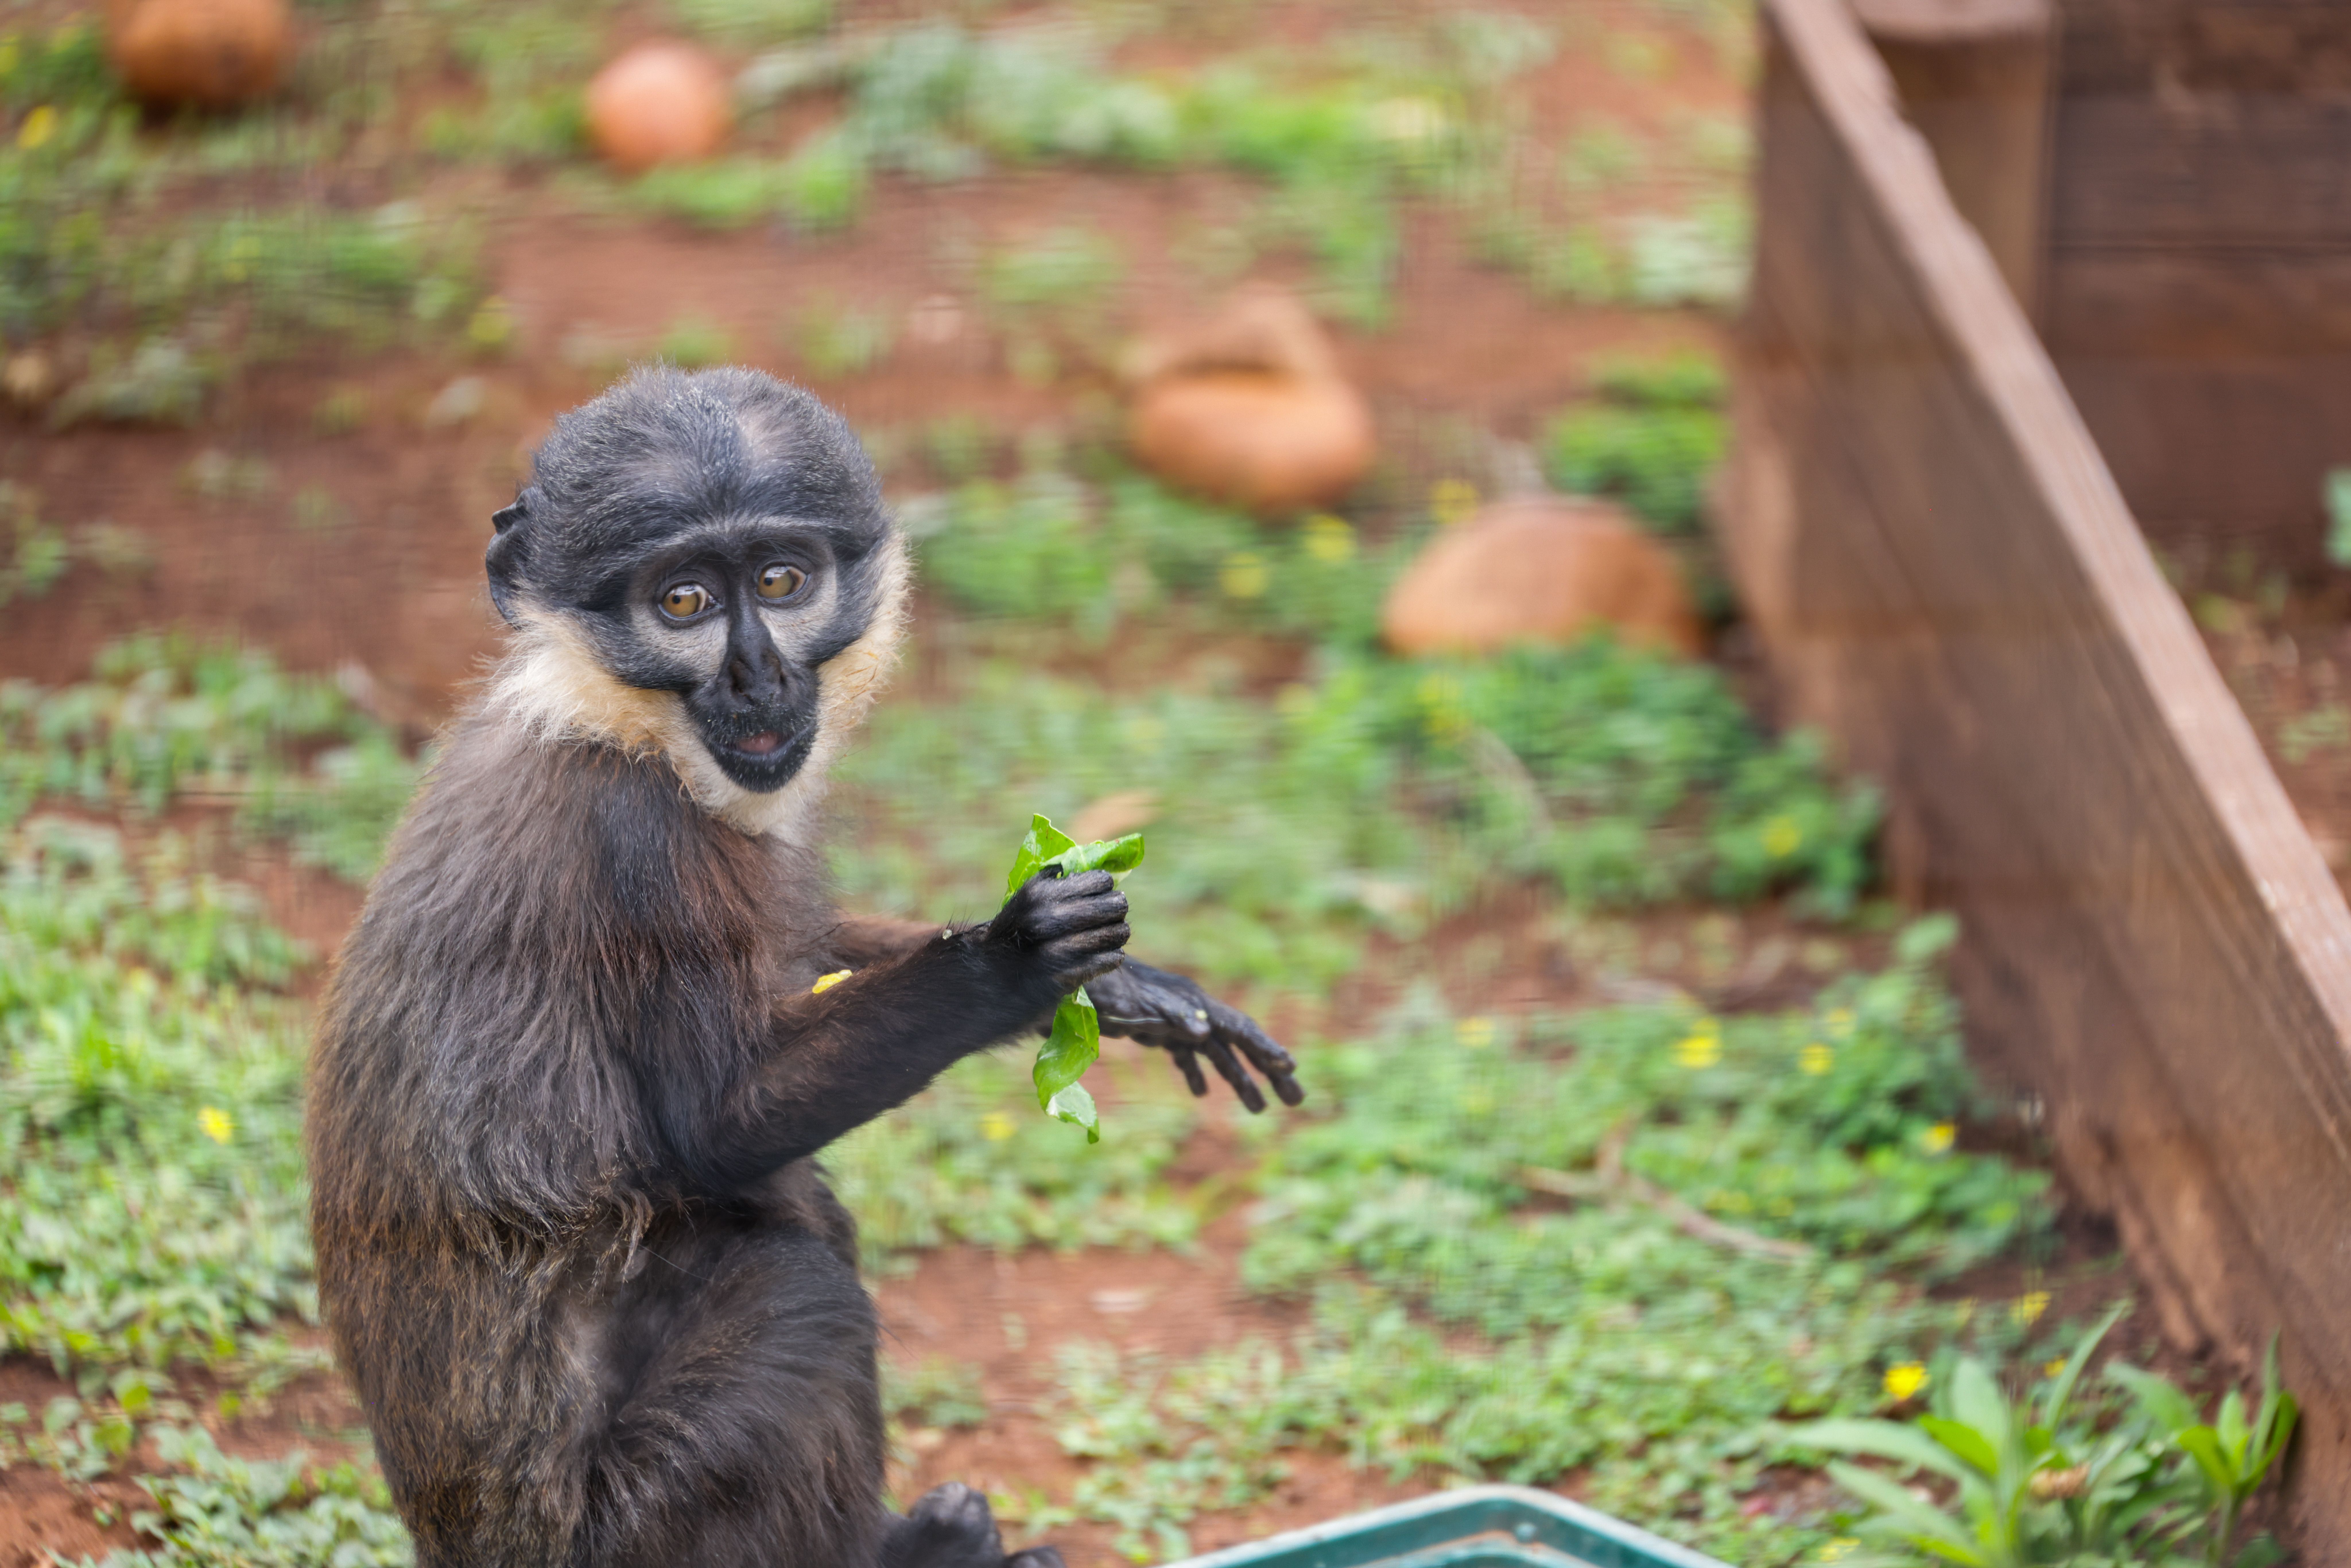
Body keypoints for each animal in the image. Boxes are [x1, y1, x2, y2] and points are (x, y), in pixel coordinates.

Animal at [304, 364, 1304, 1568]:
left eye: (780, 582)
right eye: (682, 602)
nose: (758, 674)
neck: (608, 716)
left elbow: (803, 960)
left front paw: (1124, 991)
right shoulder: (640, 841)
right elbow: (718, 1125)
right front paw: (1014, 964)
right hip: (635, 1524)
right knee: (797, 1286)